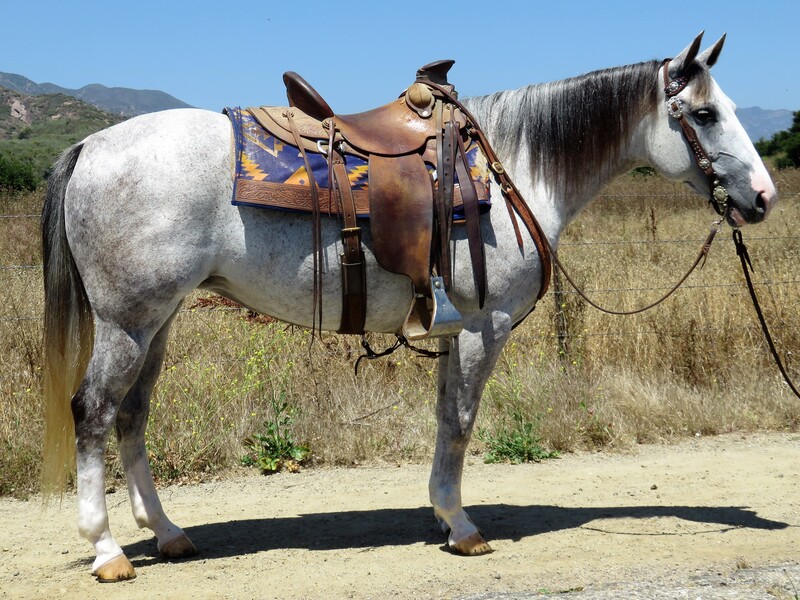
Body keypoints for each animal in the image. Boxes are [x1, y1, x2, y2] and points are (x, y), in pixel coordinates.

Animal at [41, 32, 776, 581]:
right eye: (705, 115)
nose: (764, 197)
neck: (513, 169)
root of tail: (90, 147)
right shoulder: (486, 327)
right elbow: (461, 422)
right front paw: (462, 526)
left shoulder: (455, 332)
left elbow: (446, 418)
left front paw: (442, 514)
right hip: (128, 323)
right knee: (94, 412)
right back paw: (107, 550)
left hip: (157, 322)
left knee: (132, 415)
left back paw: (167, 534)